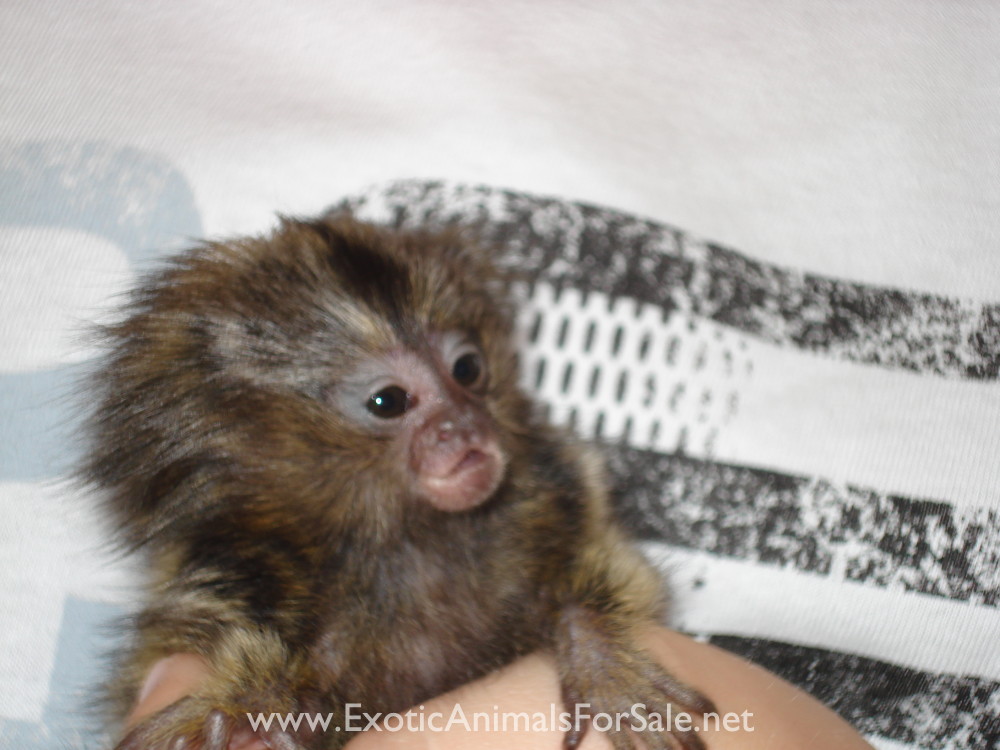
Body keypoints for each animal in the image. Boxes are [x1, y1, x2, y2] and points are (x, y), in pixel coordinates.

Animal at [81, 214, 714, 750]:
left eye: (467, 370)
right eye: (389, 401)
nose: (465, 425)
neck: (409, 540)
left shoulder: (562, 498)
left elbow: (617, 582)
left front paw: (598, 654)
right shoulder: (222, 576)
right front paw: (241, 708)